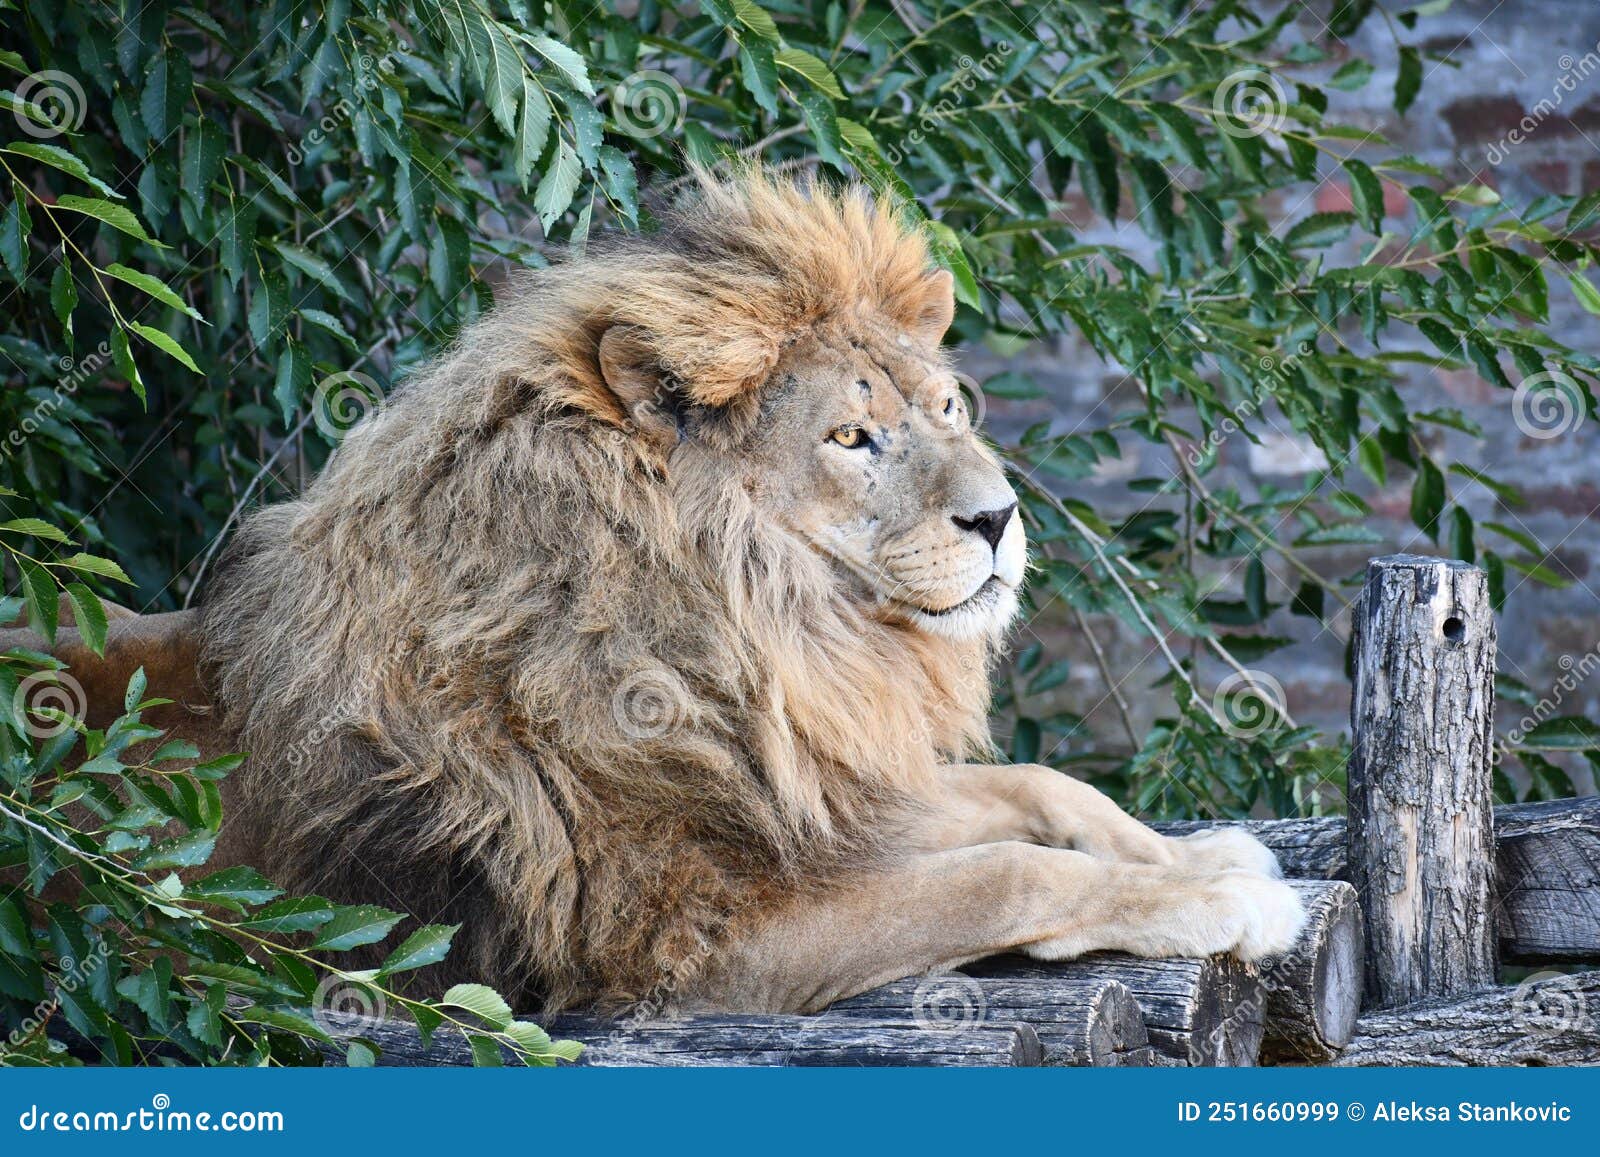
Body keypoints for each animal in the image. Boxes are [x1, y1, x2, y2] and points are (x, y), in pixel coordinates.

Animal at [26, 169, 1304, 1015]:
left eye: (949, 409)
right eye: (851, 436)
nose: (997, 518)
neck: (773, 635)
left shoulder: (814, 794)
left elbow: (1036, 790)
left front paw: (1207, 855)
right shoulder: (684, 931)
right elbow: (1009, 869)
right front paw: (1229, 904)